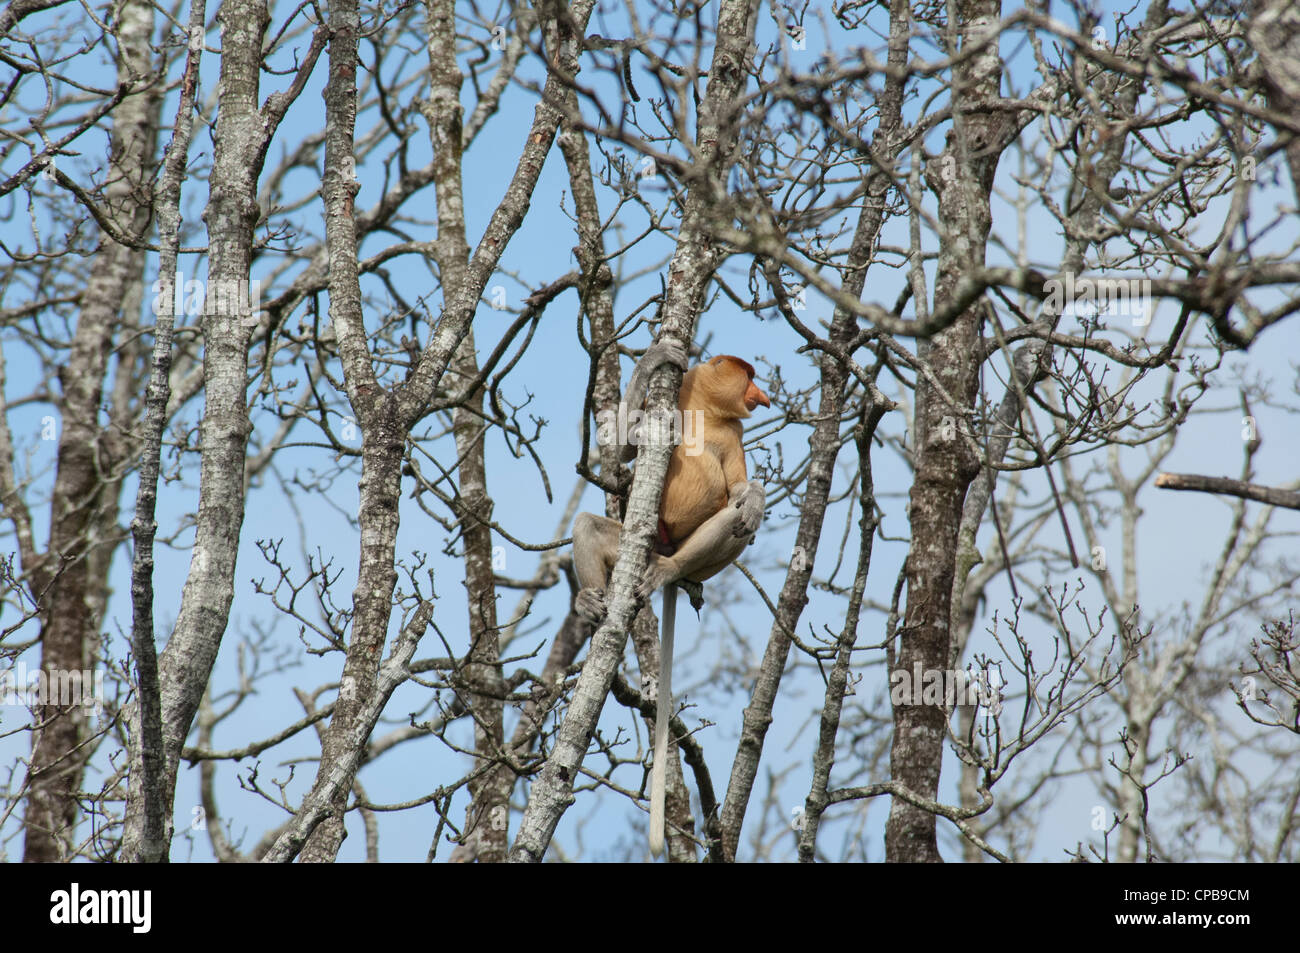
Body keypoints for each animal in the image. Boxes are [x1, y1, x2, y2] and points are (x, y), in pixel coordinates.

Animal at [572, 341, 769, 857]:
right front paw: (659, 356)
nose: (760, 394)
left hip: (683, 554)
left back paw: (673, 572)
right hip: (639, 542)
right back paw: (590, 604)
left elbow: (738, 489)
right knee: (587, 525)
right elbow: (621, 446)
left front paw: (756, 495)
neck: (708, 410)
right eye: (748, 375)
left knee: (735, 521)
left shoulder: (735, 433)